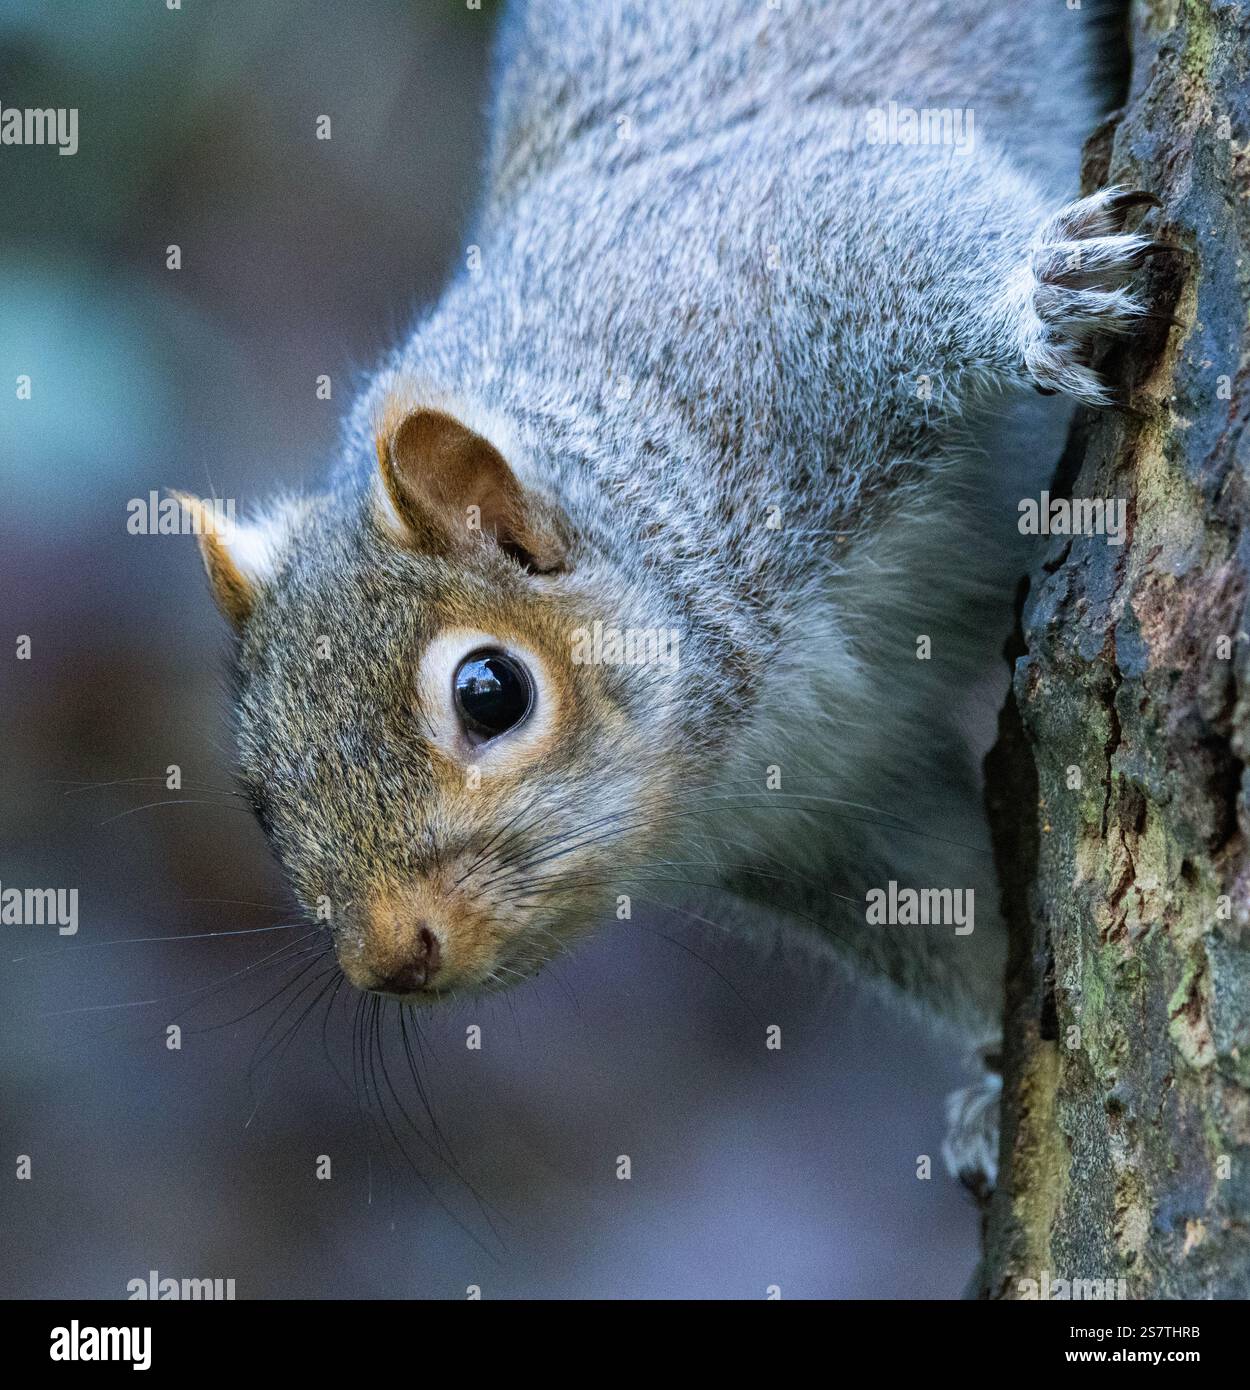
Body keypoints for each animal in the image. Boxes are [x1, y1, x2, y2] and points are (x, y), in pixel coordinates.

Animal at [178, 1, 1160, 1188]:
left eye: (491, 693)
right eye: (259, 796)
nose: (391, 959)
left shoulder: (769, 274)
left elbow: (899, 220)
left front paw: (1040, 293)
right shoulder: (835, 814)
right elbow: (952, 916)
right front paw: (988, 1072)